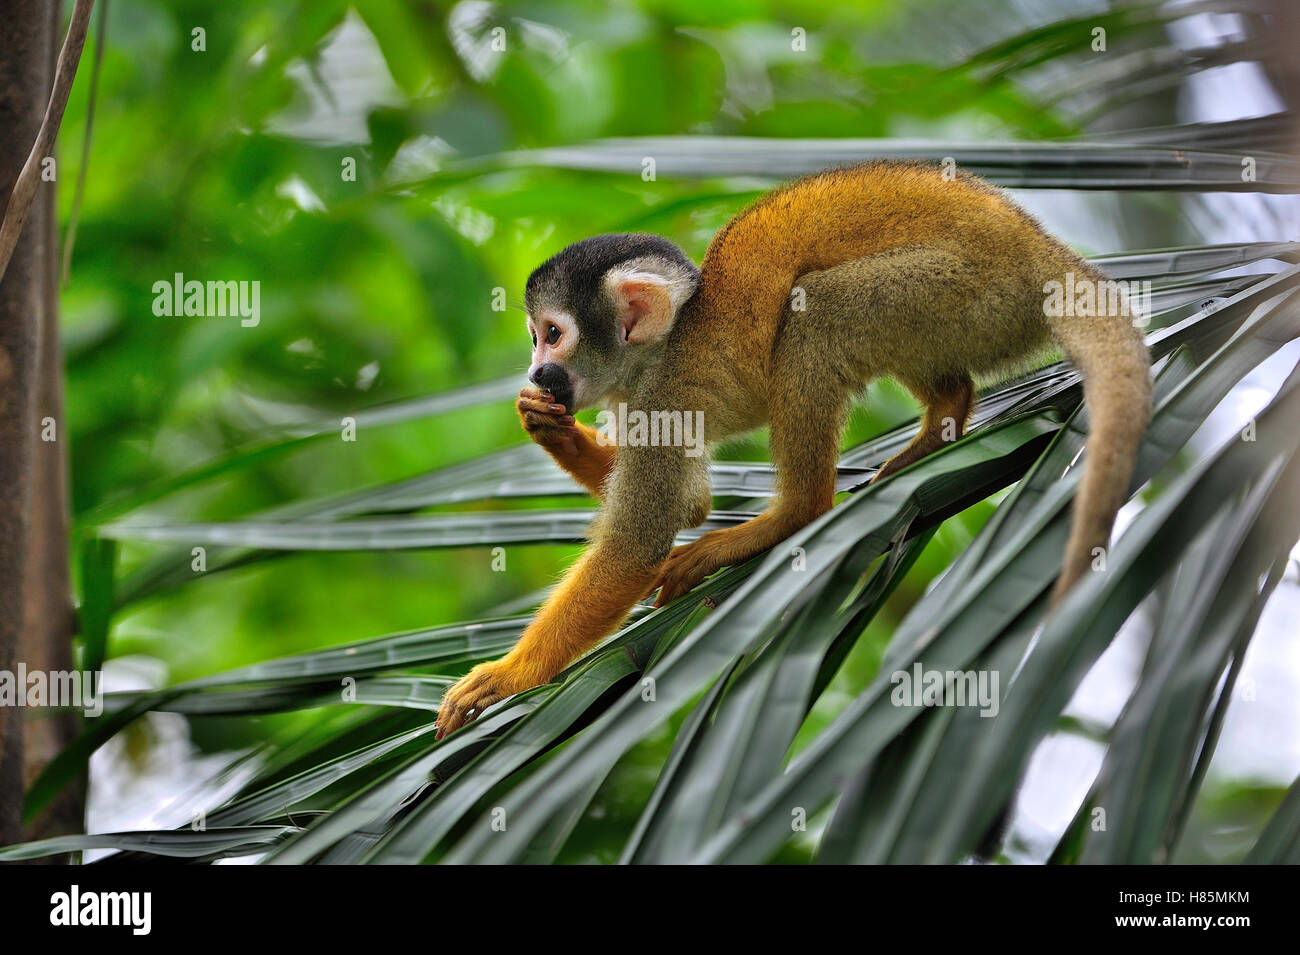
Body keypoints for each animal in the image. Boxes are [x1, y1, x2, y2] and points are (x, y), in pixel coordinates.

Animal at [433, 160, 1151, 738]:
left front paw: (510, 673)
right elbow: (692, 502)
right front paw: (551, 429)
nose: (537, 371)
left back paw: (796, 512)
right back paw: (942, 419)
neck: (665, 344)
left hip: (966, 293)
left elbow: (642, 539)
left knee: (819, 313)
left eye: (552, 334)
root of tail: (1043, 257)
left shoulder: (664, 388)